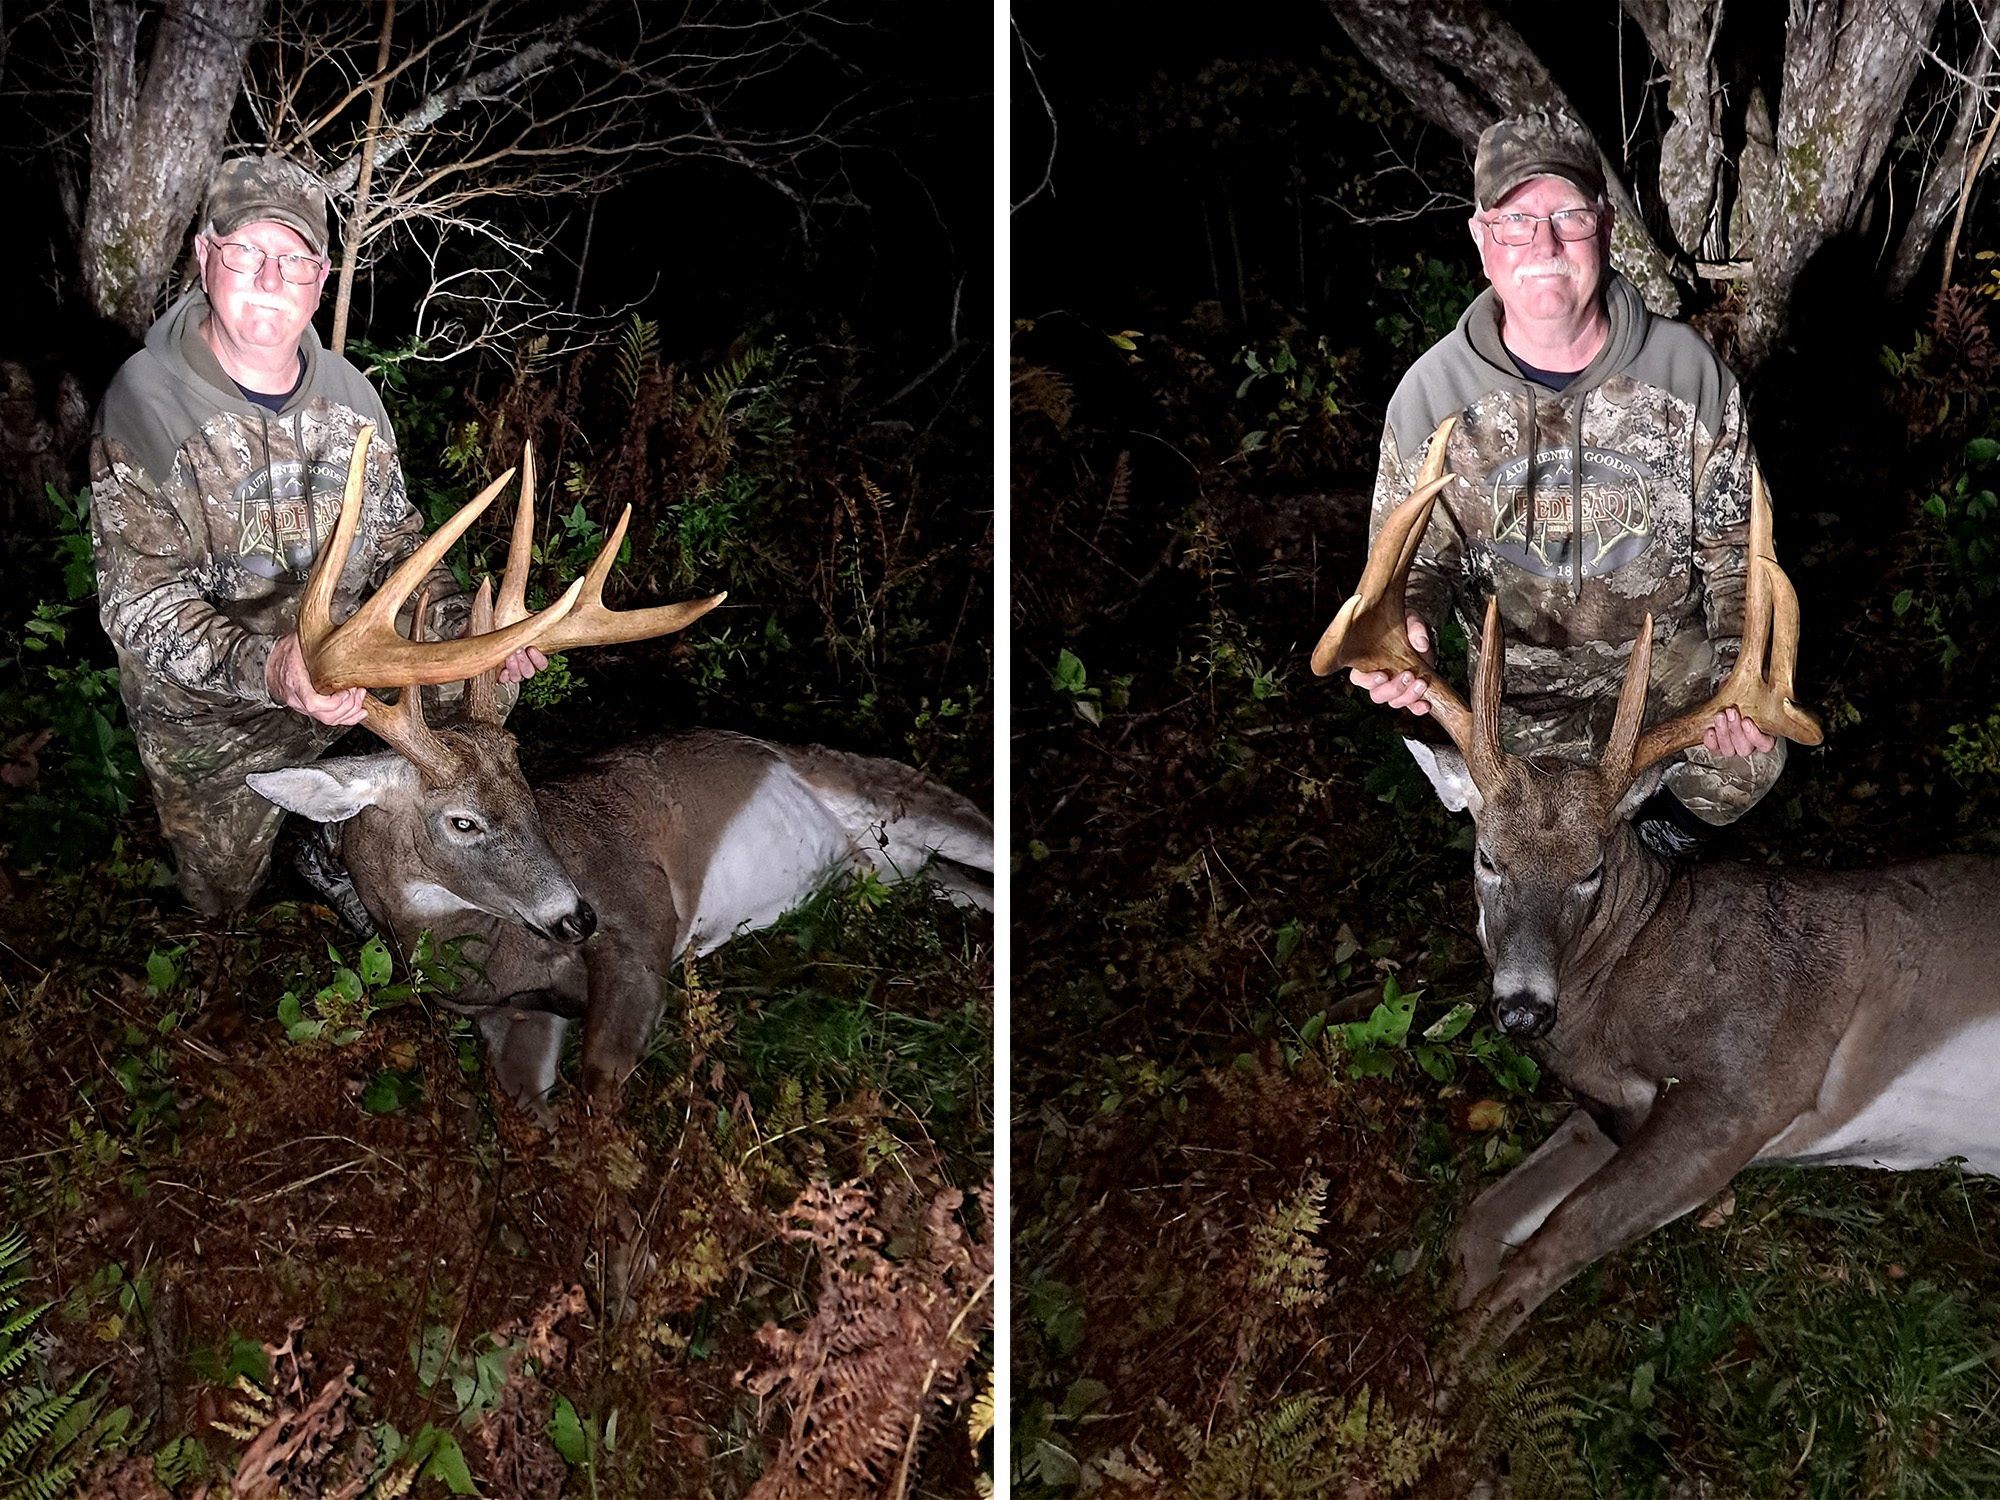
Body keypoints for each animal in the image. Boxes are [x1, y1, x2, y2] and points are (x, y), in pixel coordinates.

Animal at [245, 428, 993, 1116]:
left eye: (528, 789)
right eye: (462, 821)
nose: (578, 916)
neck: (482, 953)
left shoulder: (638, 911)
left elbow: (600, 1087)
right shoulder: (511, 1013)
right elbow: (528, 1102)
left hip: (900, 795)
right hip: (897, 868)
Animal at [1313, 415, 2000, 1373]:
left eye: (1593, 868)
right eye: (1487, 856)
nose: (1522, 1009)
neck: (1624, 983)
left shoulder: (1752, 1080)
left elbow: (1551, 1245)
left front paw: (1449, 1382)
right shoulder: (1611, 1111)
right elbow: (1483, 1218)